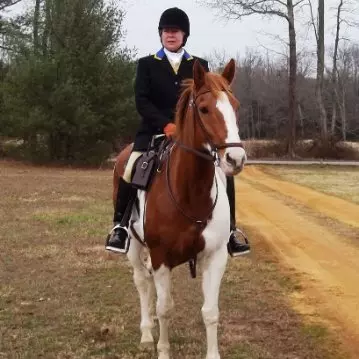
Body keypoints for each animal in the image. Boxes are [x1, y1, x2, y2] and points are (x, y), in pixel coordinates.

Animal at [112, 59, 248, 359]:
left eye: (235, 105)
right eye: (204, 108)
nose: (235, 159)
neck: (190, 194)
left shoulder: (215, 257)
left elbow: (210, 312)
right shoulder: (161, 257)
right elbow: (165, 308)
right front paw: (162, 349)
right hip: (134, 246)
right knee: (142, 283)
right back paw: (146, 334)